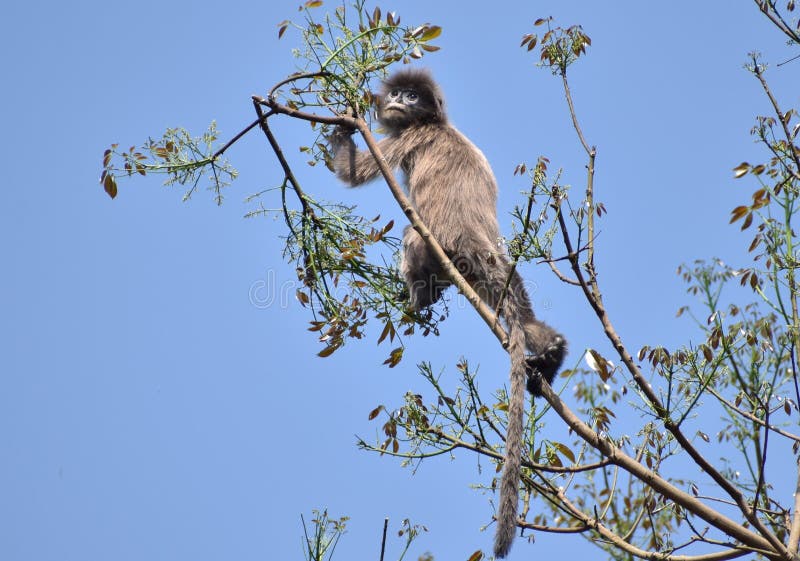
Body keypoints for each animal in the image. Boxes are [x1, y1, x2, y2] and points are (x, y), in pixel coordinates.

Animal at [329, 68, 566, 558]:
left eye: (411, 96)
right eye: (399, 92)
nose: (396, 100)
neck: (436, 125)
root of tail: (477, 237)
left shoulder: (408, 137)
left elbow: (354, 171)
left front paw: (344, 126)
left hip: (440, 242)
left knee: (411, 235)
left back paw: (419, 298)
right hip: (488, 269)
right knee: (522, 314)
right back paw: (550, 351)